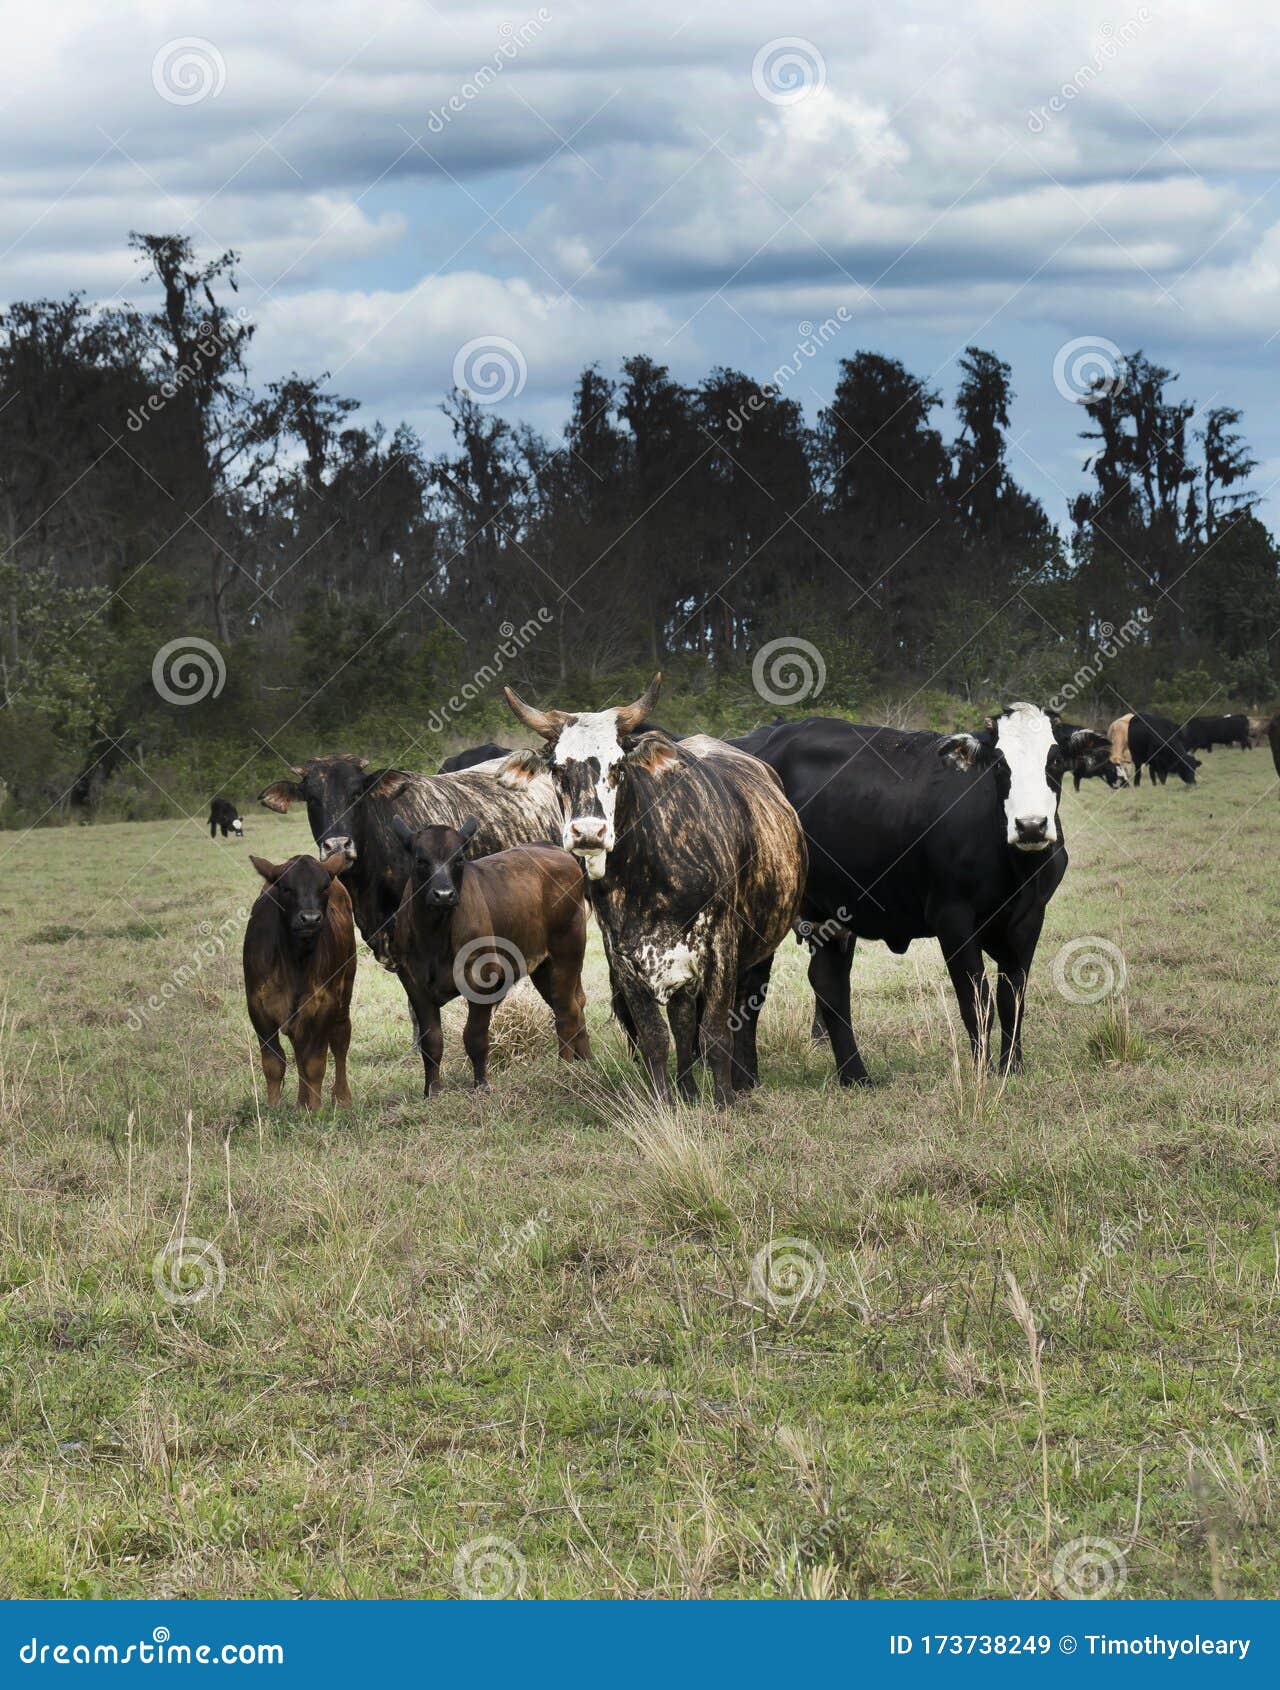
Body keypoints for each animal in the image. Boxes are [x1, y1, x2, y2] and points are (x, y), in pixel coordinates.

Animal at [243, 853, 356, 1109]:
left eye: (324, 887)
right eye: (286, 888)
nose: (310, 919)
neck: (295, 963)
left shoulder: (325, 1004)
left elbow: (314, 1062)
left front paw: (316, 1110)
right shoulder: (256, 1006)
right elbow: (274, 1062)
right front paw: (273, 1107)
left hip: (346, 985)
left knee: (340, 1039)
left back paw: (340, 1097)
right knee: (299, 1046)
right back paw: (301, 1102)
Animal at [390, 816, 590, 1095]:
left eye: (459, 858)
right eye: (421, 859)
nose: (444, 895)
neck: (435, 936)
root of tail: (553, 849)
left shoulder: (483, 980)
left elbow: (474, 1037)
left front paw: (481, 1086)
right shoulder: (414, 984)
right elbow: (431, 1042)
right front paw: (433, 1091)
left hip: (568, 953)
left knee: (566, 1011)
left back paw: (564, 1068)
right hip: (544, 966)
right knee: (577, 1003)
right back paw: (586, 1060)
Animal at [500, 675, 806, 1106]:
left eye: (617, 766)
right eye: (558, 769)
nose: (589, 832)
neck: (648, 876)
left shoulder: (721, 950)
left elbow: (715, 1034)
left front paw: (725, 1101)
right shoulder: (625, 959)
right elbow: (656, 1037)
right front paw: (665, 1100)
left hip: (758, 950)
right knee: (682, 1021)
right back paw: (687, 1090)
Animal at [731, 703, 1071, 1082]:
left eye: (1056, 760)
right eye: (999, 763)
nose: (1031, 826)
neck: (1014, 866)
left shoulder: (1029, 917)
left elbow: (1012, 997)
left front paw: (1011, 1068)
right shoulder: (953, 918)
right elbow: (976, 999)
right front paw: (981, 1074)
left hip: (829, 911)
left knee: (828, 984)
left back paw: (855, 1077)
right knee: (749, 987)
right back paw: (744, 1079)